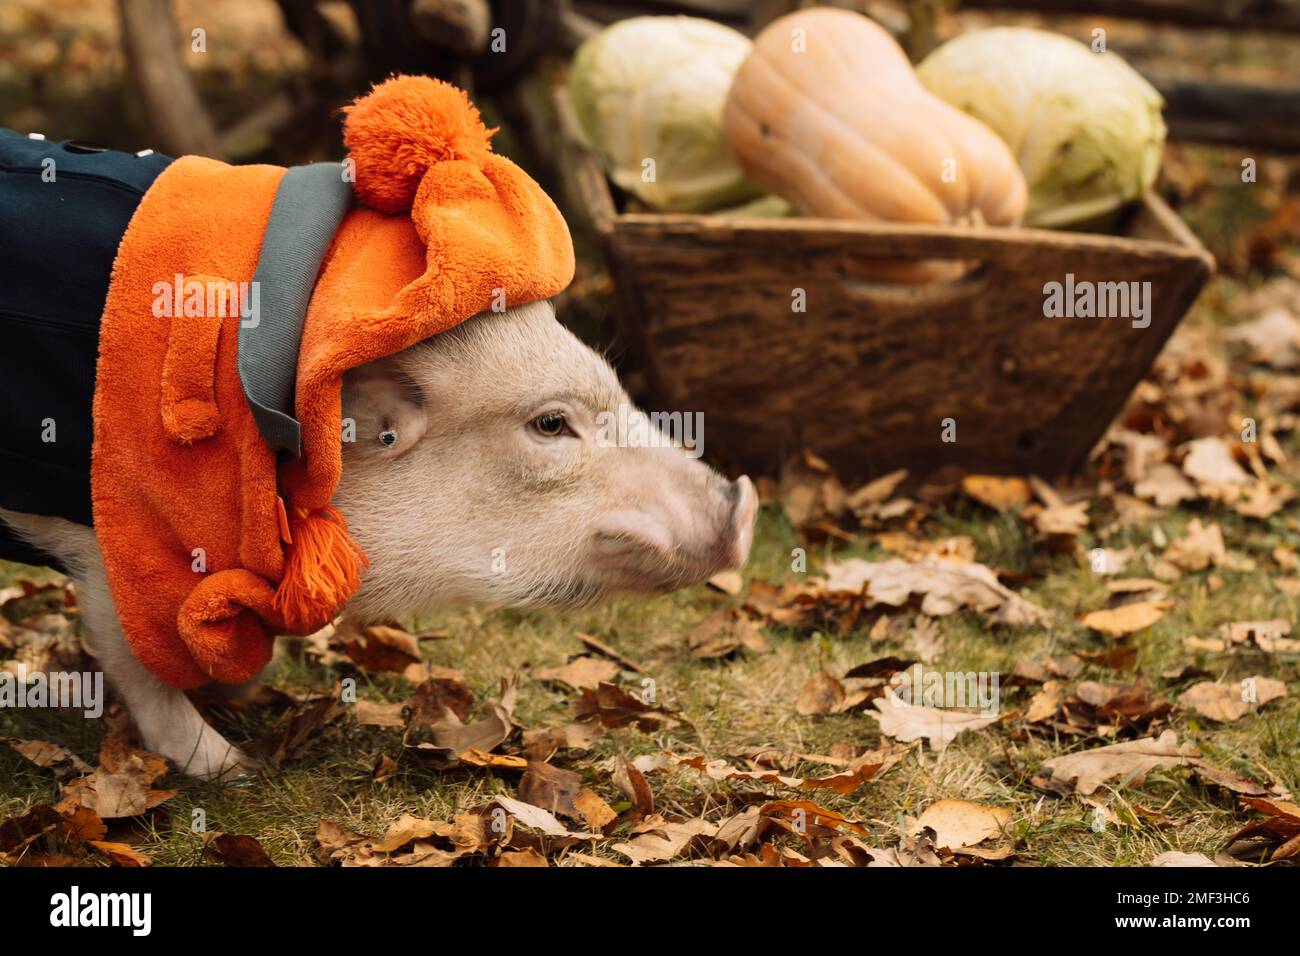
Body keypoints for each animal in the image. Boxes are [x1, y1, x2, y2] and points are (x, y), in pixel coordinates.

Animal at [0, 300, 756, 779]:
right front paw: (232, 770)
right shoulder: (106, 551)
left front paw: (244, 687)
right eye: (549, 424)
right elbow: (136, 662)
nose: (741, 506)